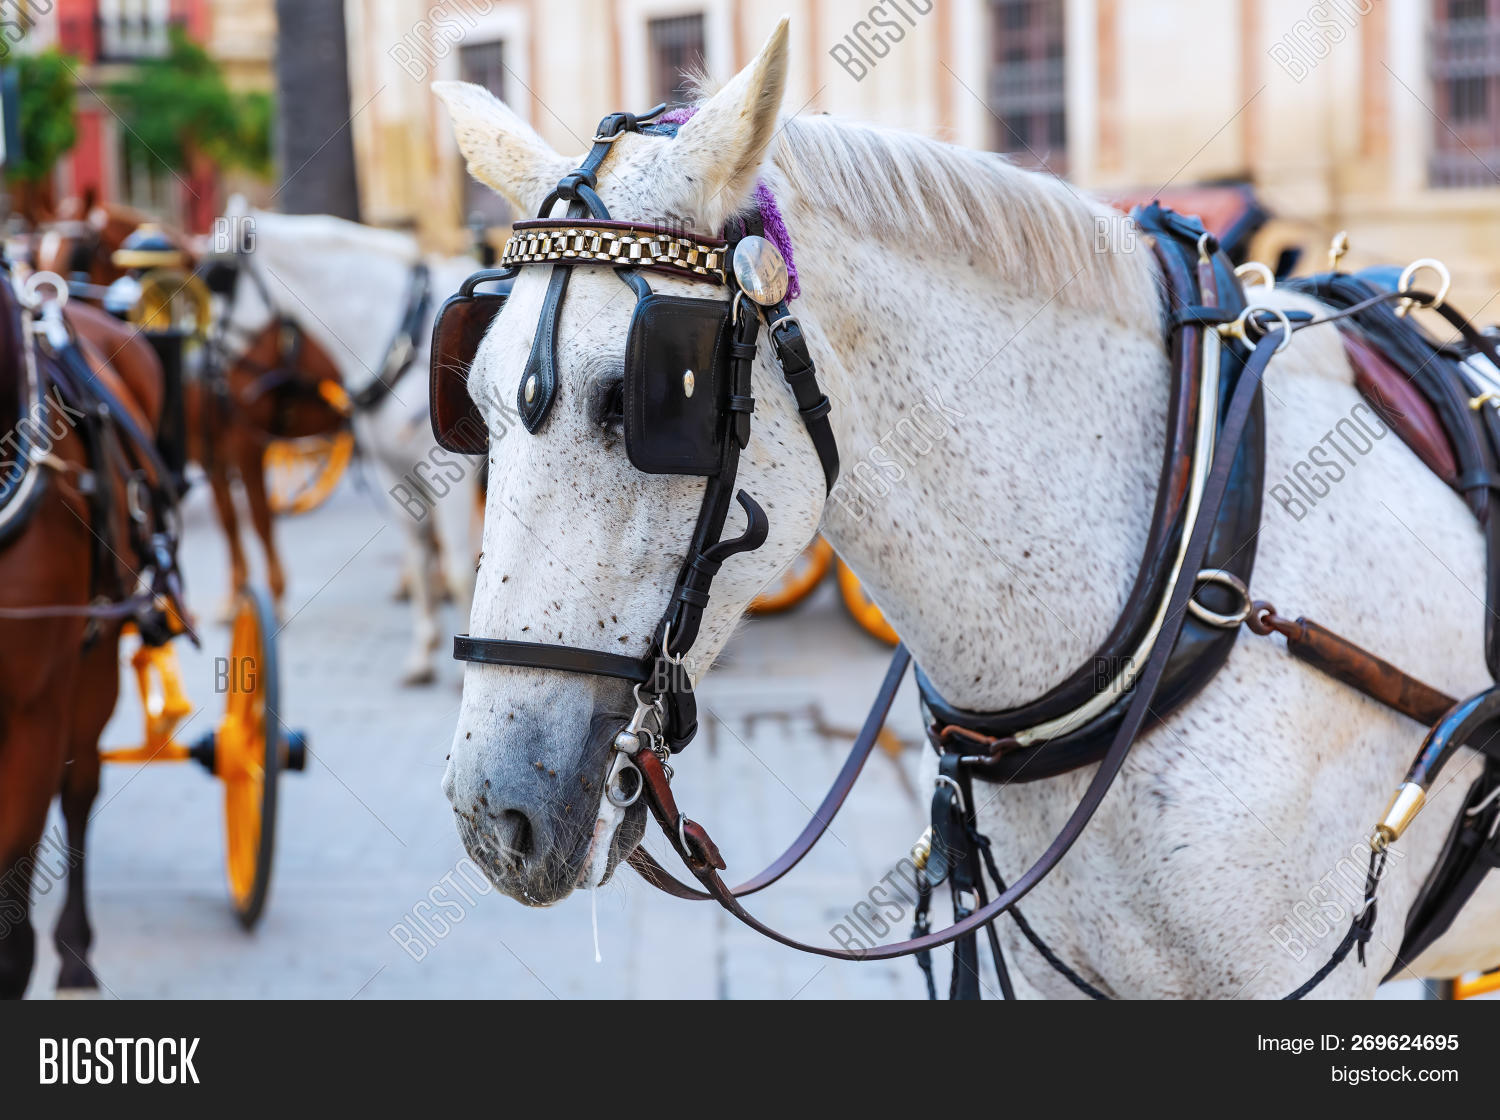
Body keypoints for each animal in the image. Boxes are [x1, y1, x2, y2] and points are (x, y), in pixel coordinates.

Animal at [219, 208, 481, 684]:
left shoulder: (447, 474)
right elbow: (419, 555)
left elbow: (454, 567)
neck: (401, 335)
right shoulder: (393, 468)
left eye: (220, 277)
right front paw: (423, 650)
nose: (209, 368)